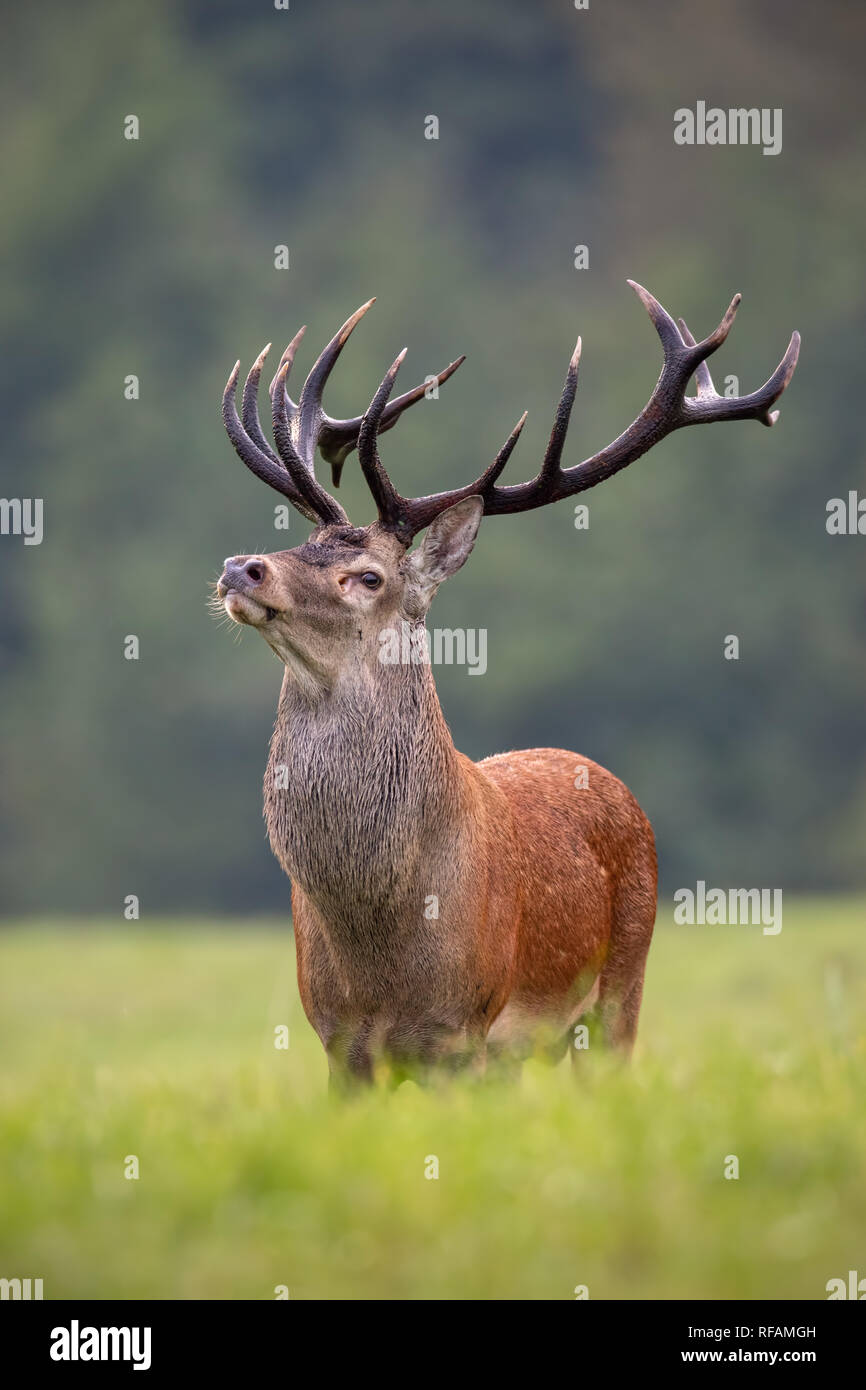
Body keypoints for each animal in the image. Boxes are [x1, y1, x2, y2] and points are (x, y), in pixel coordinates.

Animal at [216, 282, 799, 1088]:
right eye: (302, 543)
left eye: (369, 577)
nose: (241, 568)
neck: (381, 941)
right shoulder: (337, 1040)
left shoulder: (461, 1032)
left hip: (619, 991)